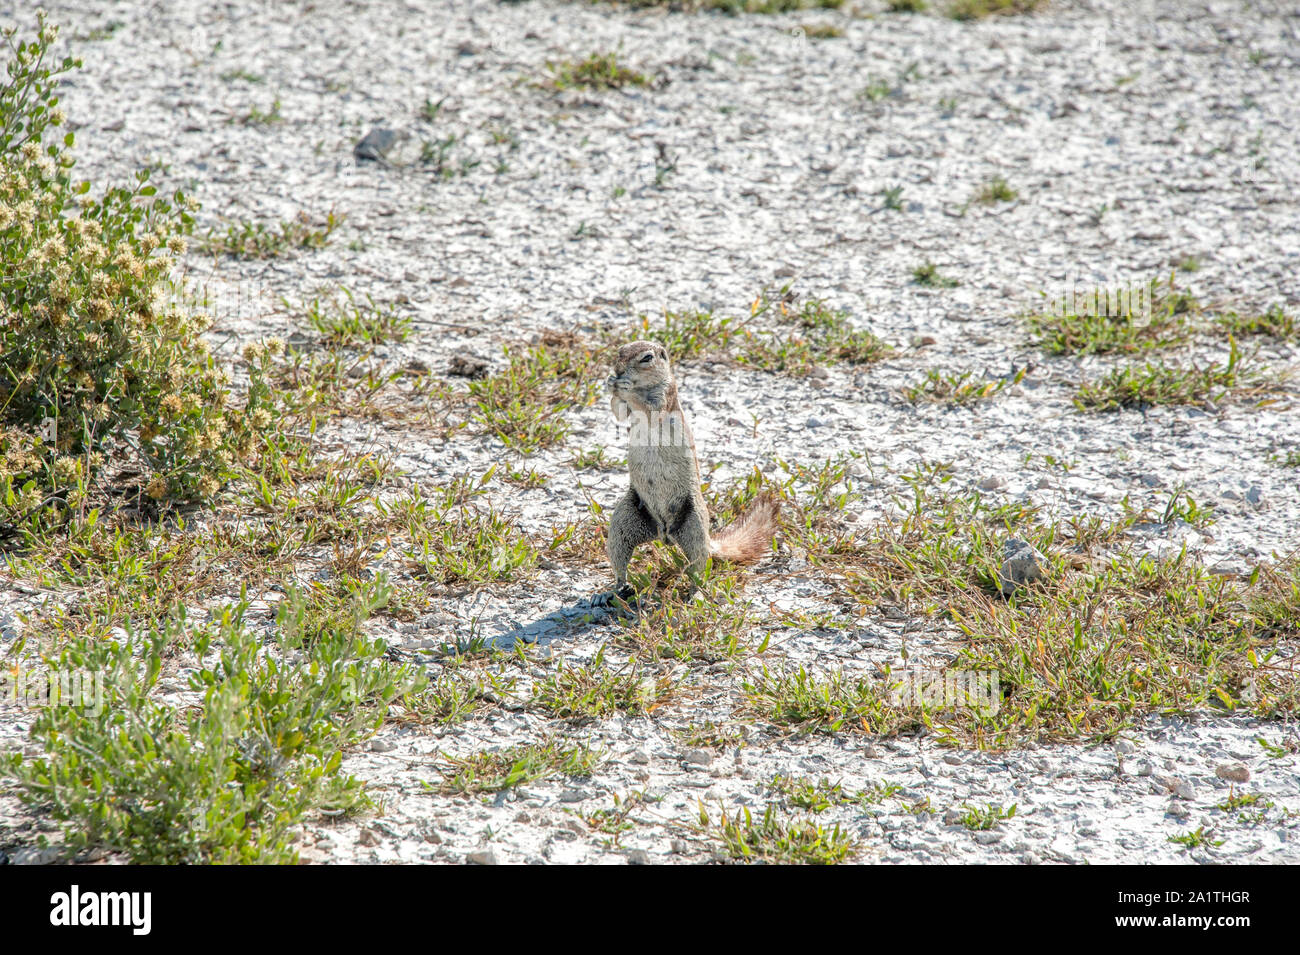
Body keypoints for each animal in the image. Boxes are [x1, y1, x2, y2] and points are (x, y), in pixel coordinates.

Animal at [598, 340, 779, 603]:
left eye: (646, 358)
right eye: (620, 351)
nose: (619, 370)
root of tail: (664, 535)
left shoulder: (665, 394)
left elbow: (649, 407)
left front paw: (623, 385)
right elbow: (619, 412)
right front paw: (610, 382)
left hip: (694, 525)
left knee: (698, 566)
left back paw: (696, 594)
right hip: (624, 521)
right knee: (621, 565)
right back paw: (610, 592)